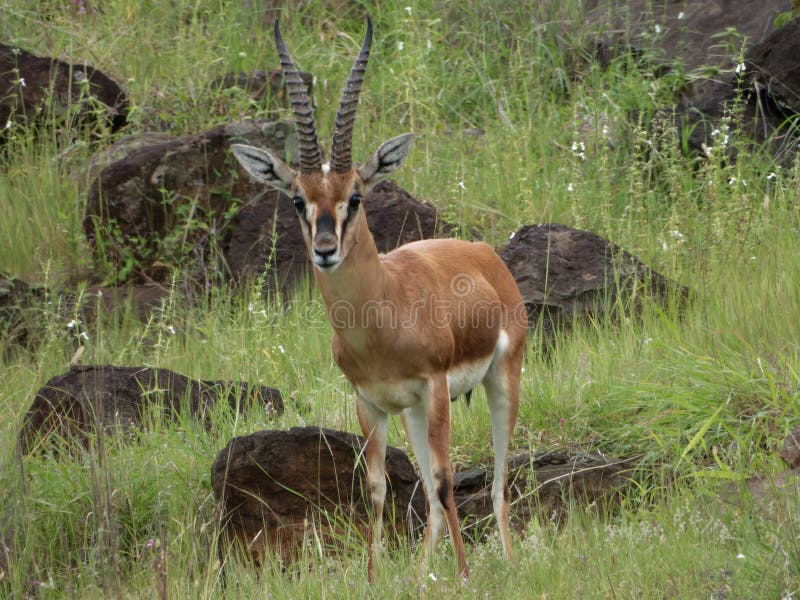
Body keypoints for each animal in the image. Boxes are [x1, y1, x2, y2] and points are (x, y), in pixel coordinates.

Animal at [230, 17, 527, 581]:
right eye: (297, 199)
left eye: (356, 195)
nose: (325, 249)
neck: (383, 311)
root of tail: (483, 254)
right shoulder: (368, 401)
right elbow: (375, 489)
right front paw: (374, 577)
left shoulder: (436, 388)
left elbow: (445, 478)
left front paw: (464, 576)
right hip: (411, 412)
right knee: (431, 498)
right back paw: (421, 575)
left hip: (500, 380)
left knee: (496, 482)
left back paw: (501, 561)